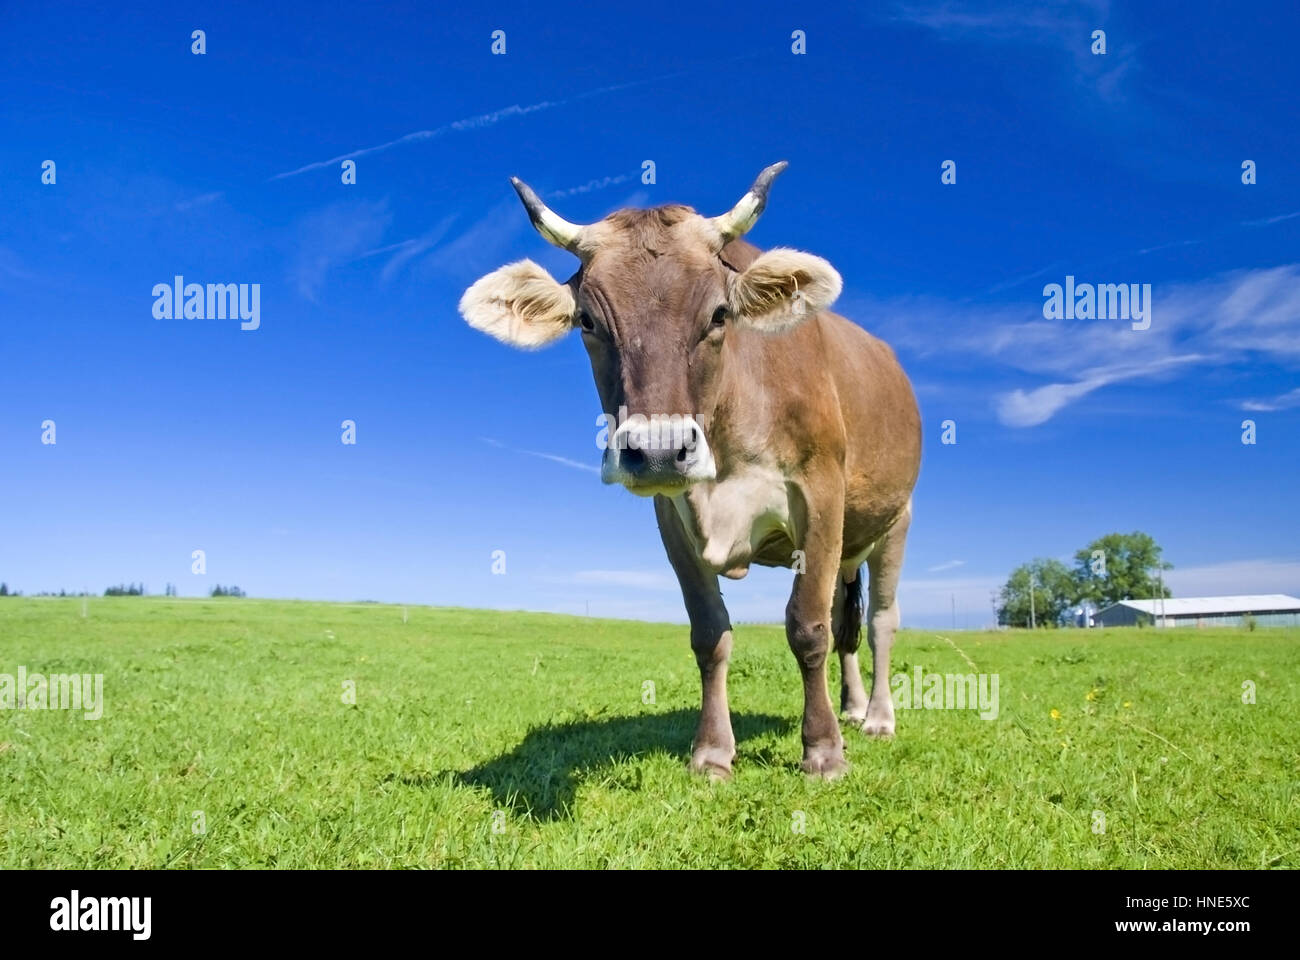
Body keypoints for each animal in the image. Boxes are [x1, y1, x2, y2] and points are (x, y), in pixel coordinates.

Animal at [459, 163, 921, 778]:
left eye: (720, 314)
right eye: (588, 321)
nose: (657, 450)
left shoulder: (820, 494)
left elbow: (808, 625)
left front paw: (823, 750)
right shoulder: (671, 514)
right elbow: (709, 633)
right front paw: (713, 751)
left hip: (895, 519)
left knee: (880, 623)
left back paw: (876, 718)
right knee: (847, 623)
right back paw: (850, 705)